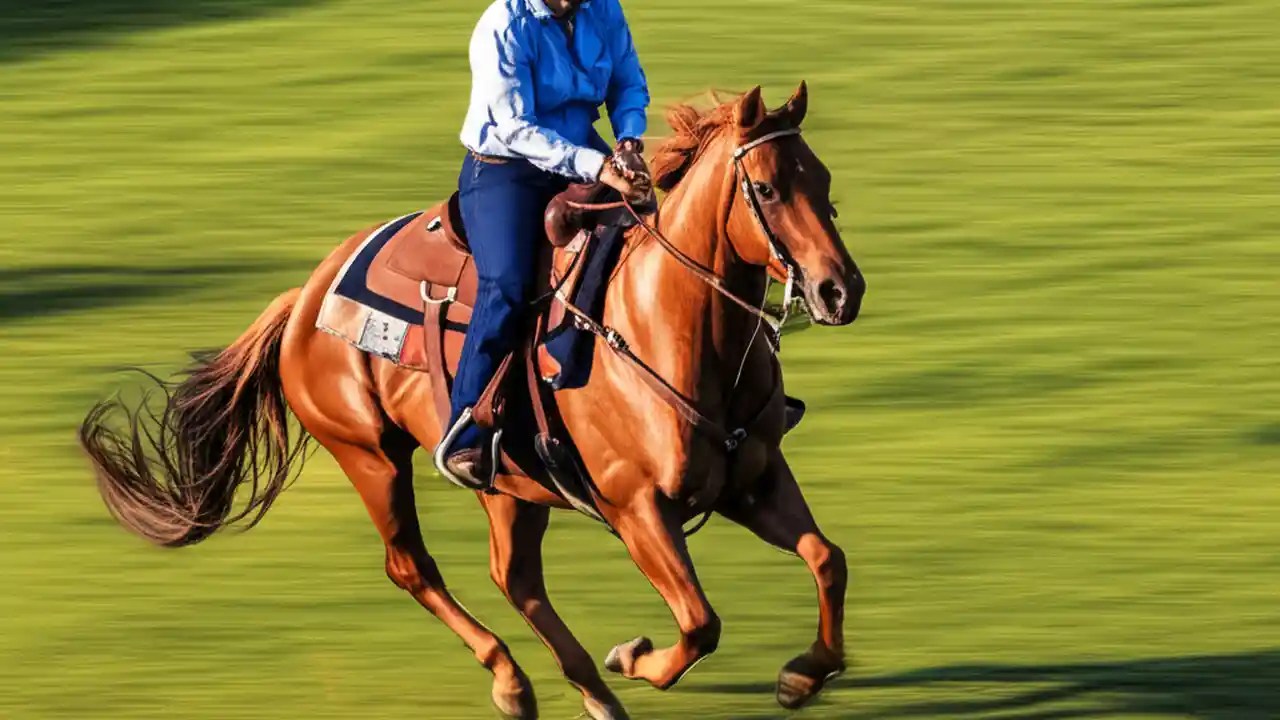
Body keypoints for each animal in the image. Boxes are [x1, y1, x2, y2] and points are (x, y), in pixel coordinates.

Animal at [79, 83, 865, 720]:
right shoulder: (638, 509)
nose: (840, 290)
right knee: (413, 568)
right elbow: (701, 622)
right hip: (369, 455)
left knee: (514, 578)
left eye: (824, 177)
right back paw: (517, 680)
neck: (666, 327)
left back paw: (589, 690)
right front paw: (636, 656)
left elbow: (828, 558)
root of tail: (305, 296)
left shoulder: (752, 479)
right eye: (766, 189)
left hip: (507, 483)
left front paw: (803, 674)